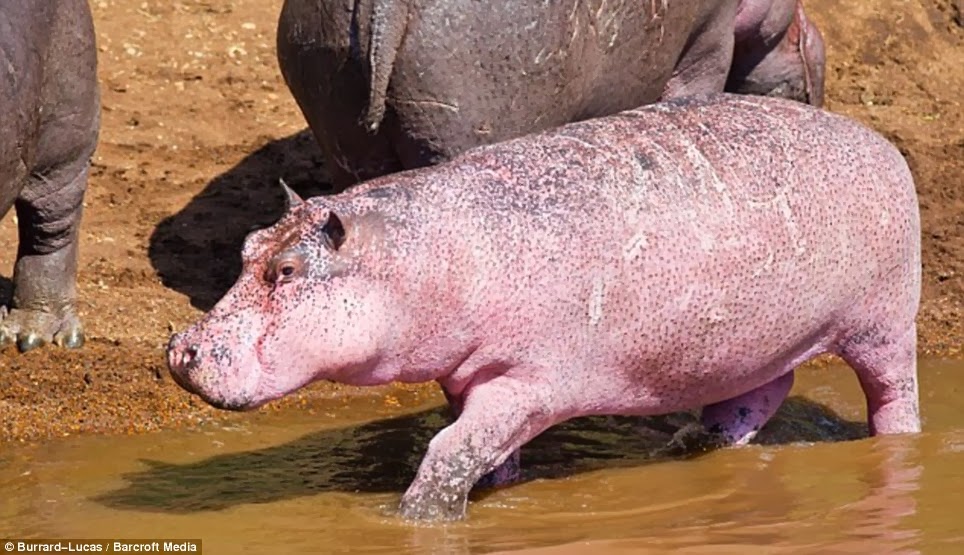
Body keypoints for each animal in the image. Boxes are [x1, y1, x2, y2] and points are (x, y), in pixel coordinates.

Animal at [167, 94, 921, 522]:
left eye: (287, 270)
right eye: (247, 245)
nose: (181, 348)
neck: (426, 258)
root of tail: (876, 138)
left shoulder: (530, 381)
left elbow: (448, 452)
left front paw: (404, 519)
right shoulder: (466, 378)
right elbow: (483, 454)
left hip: (883, 327)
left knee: (892, 401)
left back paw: (898, 452)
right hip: (746, 343)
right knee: (753, 399)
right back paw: (685, 446)